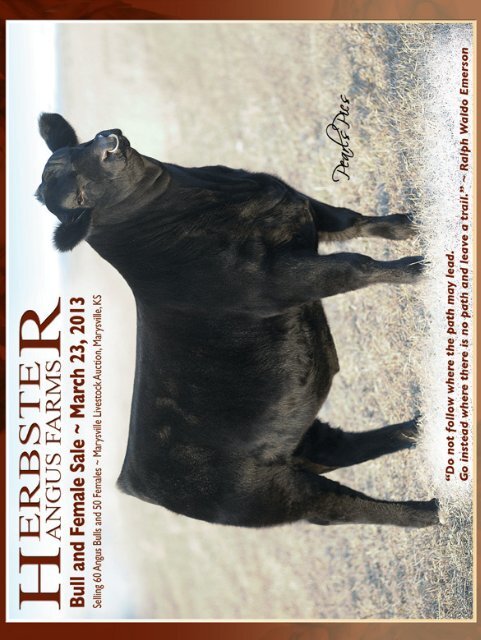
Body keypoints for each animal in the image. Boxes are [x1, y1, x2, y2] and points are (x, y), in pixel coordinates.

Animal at [36, 113, 439, 528]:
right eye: (80, 199)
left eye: (78, 150)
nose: (107, 142)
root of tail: (133, 483)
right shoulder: (282, 279)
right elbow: (355, 266)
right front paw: (418, 268)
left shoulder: (298, 201)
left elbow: (353, 221)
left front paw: (408, 225)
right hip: (270, 495)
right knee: (338, 506)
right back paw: (429, 510)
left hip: (295, 436)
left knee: (339, 447)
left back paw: (420, 428)